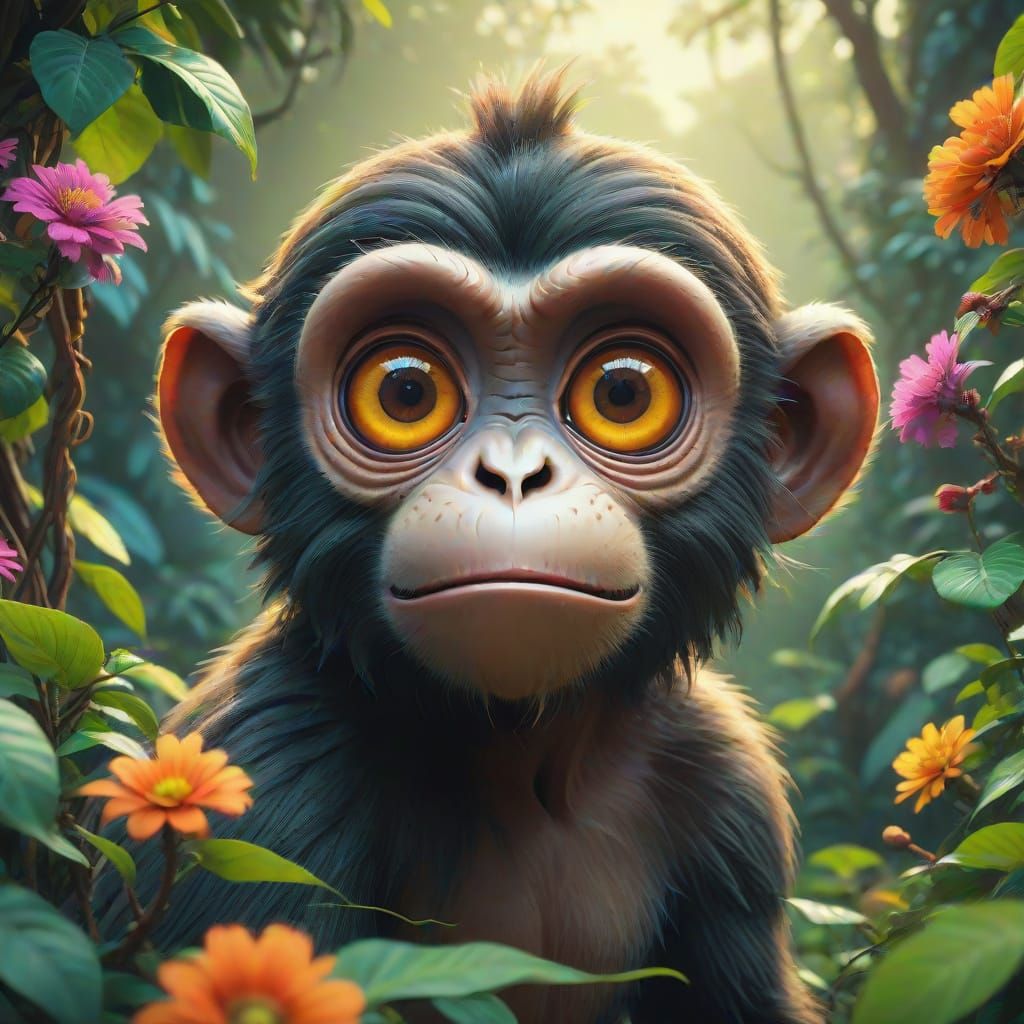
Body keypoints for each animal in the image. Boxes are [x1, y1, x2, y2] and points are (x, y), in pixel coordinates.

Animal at [133, 70, 879, 1024]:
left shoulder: (726, 780)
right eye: (406, 392)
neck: (529, 761)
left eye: (623, 392)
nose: (515, 475)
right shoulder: (264, 780)